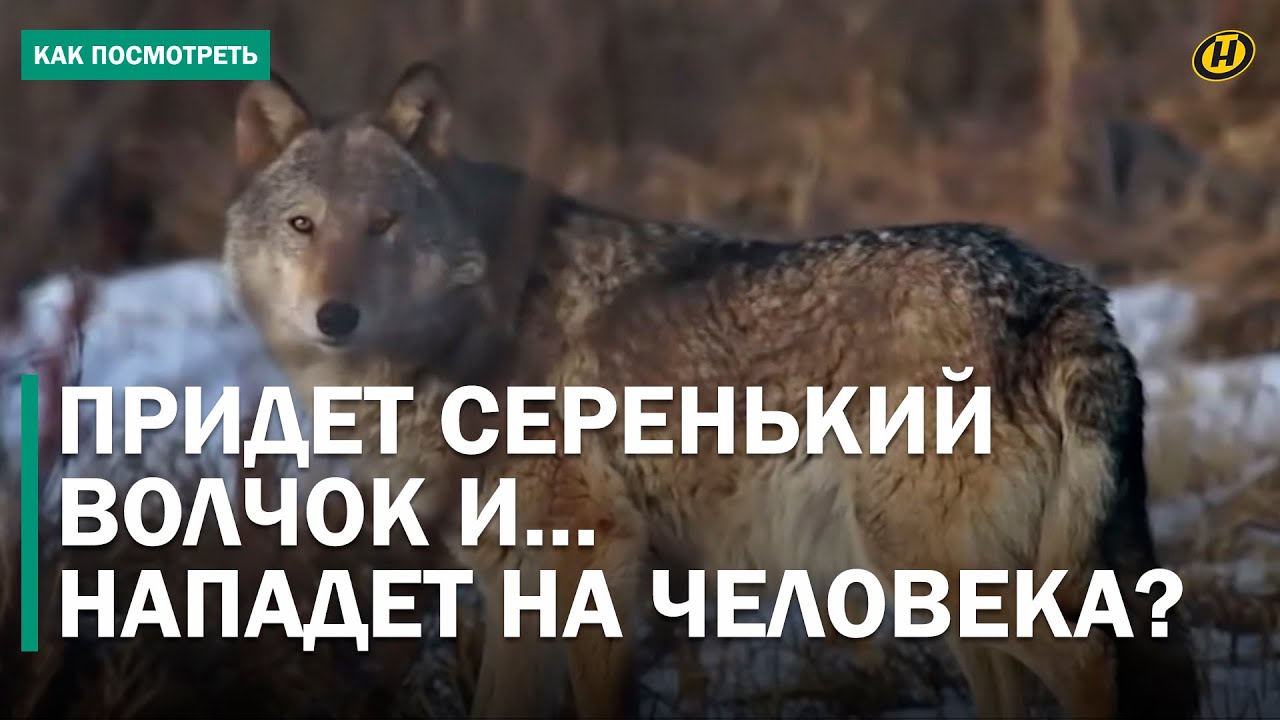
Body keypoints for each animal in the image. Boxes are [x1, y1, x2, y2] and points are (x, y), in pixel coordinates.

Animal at [222, 61, 1201, 720]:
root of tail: (1061, 284)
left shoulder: (596, 562)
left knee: (1090, 662)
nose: (336, 315)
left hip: (941, 567)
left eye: (384, 225)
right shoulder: (516, 590)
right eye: (303, 226)